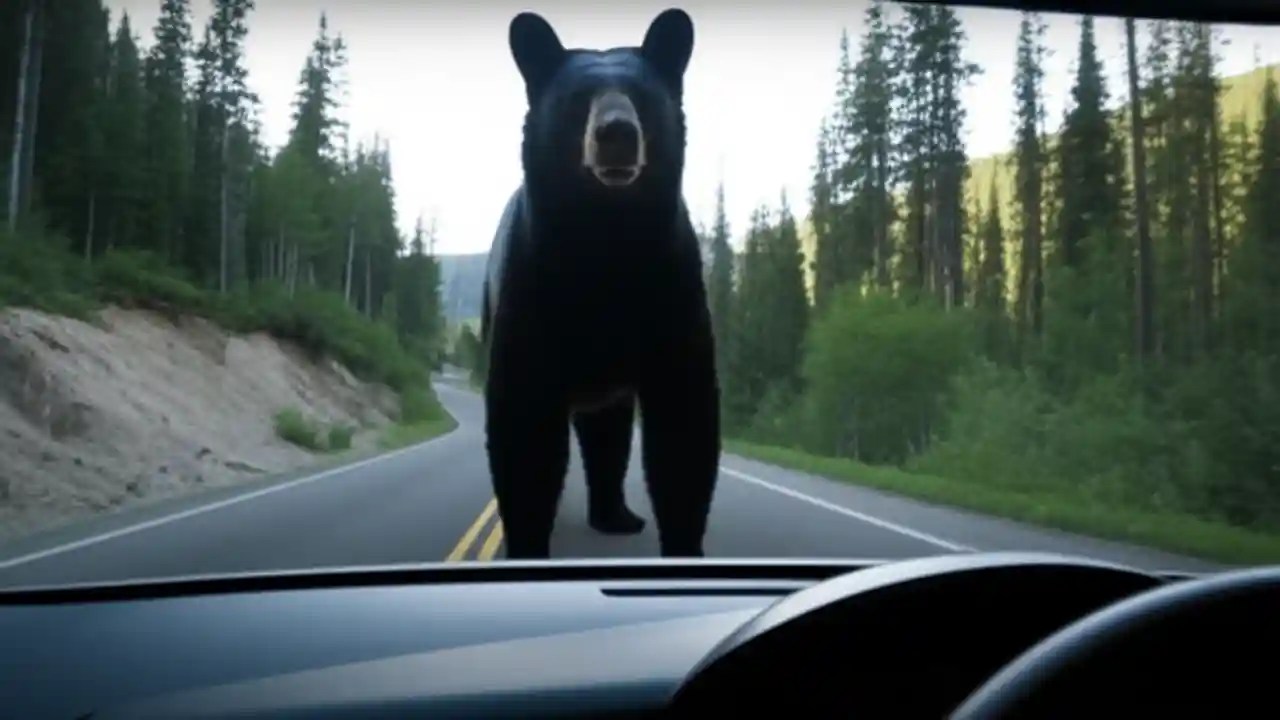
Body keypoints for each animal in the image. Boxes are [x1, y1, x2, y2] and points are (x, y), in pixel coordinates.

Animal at [480, 8, 721, 560]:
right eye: (578, 99)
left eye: (642, 97)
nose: (617, 132)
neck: (606, 247)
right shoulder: (532, 292)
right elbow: (523, 426)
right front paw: (527, 539)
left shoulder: (672, 291)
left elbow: (684, 424)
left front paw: (683, 540)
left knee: (608, 433)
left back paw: (617, 517)